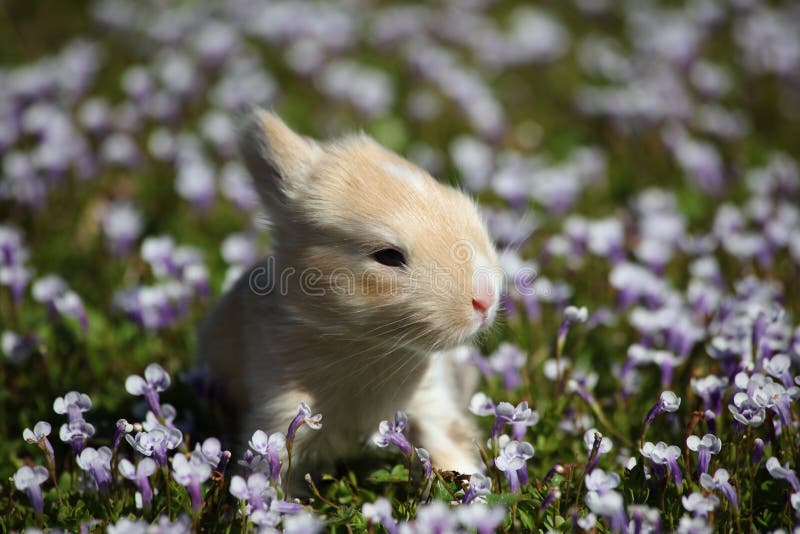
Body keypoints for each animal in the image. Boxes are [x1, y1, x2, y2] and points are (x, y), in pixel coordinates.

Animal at [198, 109, 502, 485]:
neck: (367, 347)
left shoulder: (431, 406)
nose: (485, 299)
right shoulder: (281, 414)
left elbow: (448, 449)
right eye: (388, 256)